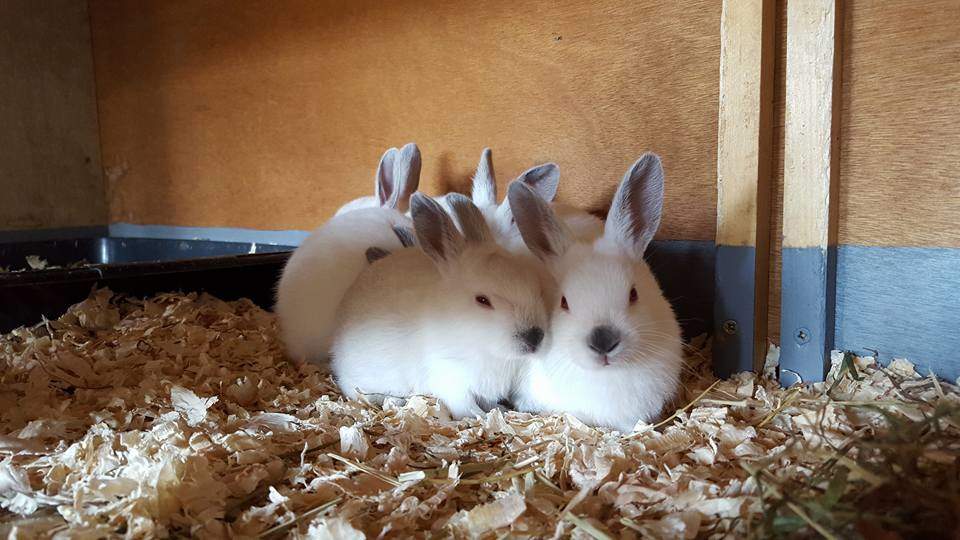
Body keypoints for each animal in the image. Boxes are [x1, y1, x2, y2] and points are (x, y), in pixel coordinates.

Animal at [330, 192, 549, 420]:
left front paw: (500, 410)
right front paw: (478, 417)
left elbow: (487, 402)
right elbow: (466, 407)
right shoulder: (452, 381)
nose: (534, 338)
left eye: (535, 286)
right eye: (482, 300)